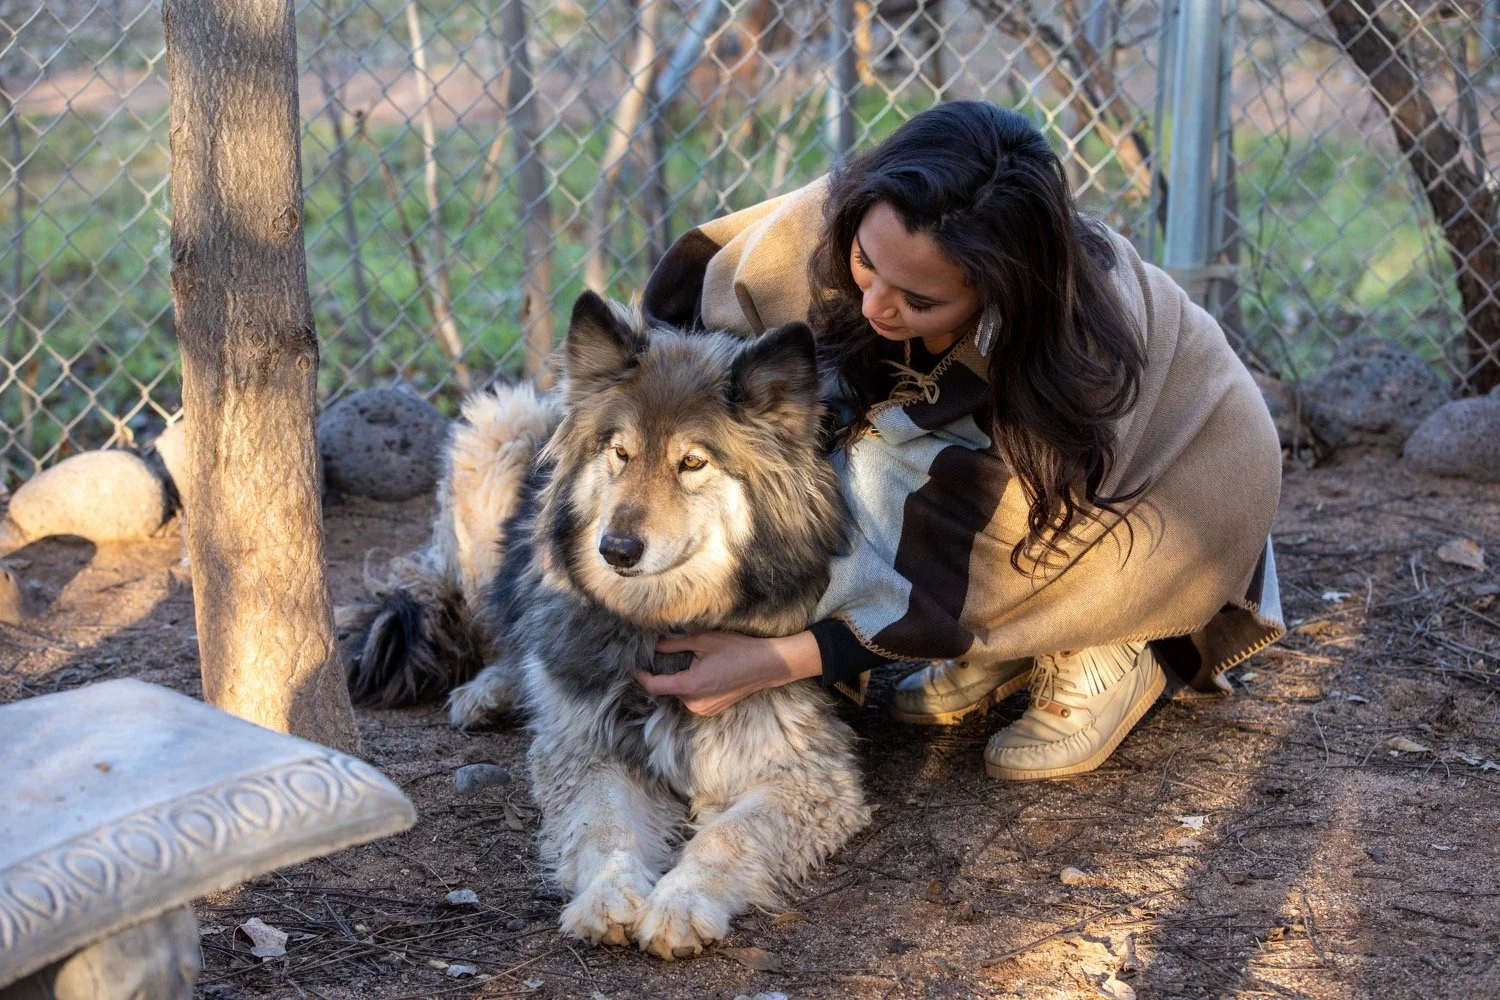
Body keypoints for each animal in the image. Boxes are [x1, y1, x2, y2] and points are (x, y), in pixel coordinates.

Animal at [339, 292, 870, 958]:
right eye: (620, 453)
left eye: (691, 462)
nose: (615, 549)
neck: (661, 624)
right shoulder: (585, 747)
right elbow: (605, 825)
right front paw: (610, 894)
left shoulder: (808, 775)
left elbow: (727, 837)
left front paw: (681, 902)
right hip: (498, 431)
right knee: (505, 622)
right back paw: (495, 688)